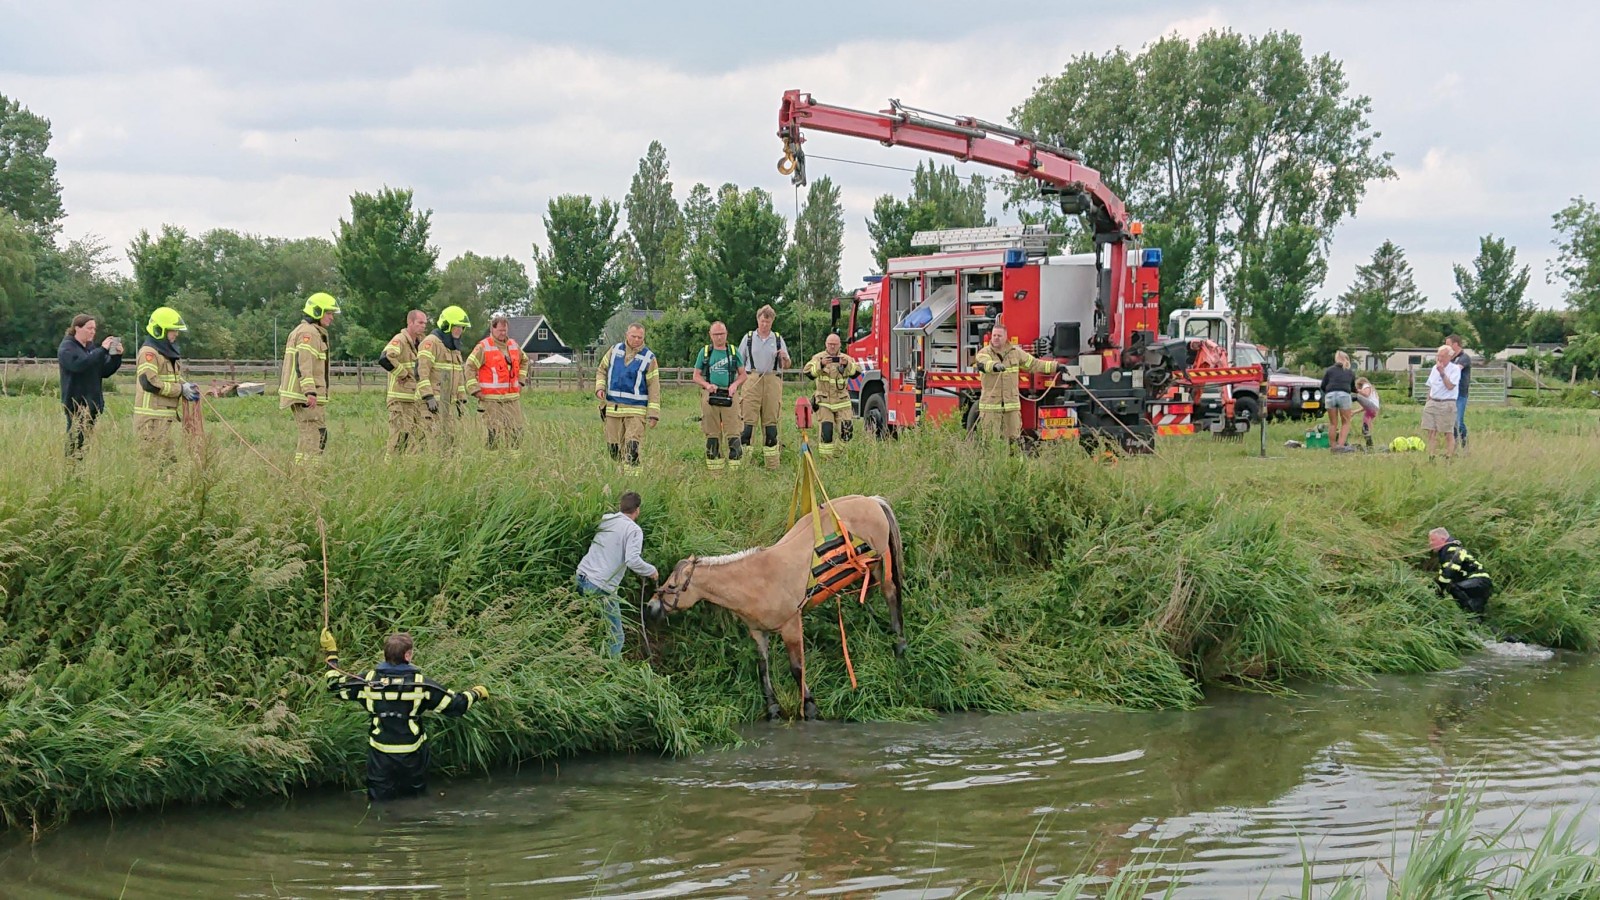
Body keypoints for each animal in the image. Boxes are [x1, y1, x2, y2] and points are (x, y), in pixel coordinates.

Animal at [646, 494, 906, 721]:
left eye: (672, 585)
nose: (651, 607)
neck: (754, 581)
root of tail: (871, 500)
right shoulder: (758, 632)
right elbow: (763, 667)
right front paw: (772, 708)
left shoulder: (791, 626)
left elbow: (797, 668)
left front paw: (809, 706)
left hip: (881, 562)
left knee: (891, 595)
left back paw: (899, 644)